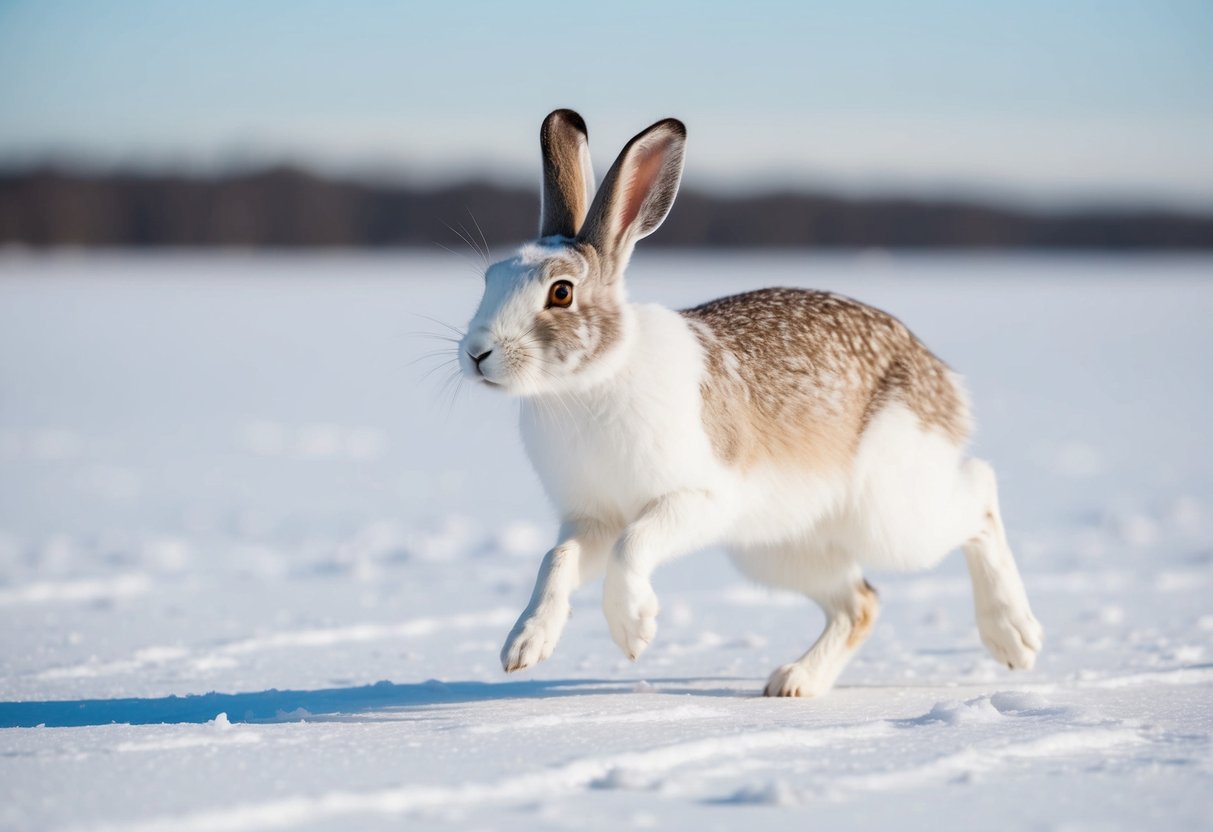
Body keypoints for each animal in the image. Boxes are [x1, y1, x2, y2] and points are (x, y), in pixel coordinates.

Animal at [457, 109, 1043, 697]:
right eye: (489, 278)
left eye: (561, 292)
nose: (476, 353)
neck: (590, 381)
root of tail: (943, 381)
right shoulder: (591, 519)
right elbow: (556, 559)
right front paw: (524, 646)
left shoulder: (698, 498)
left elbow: (633, 546)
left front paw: (633, 630)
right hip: (780, 548)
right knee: (860, 604)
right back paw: (795, 682)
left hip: (891, 515)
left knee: (979, 494)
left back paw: (1014, 638)